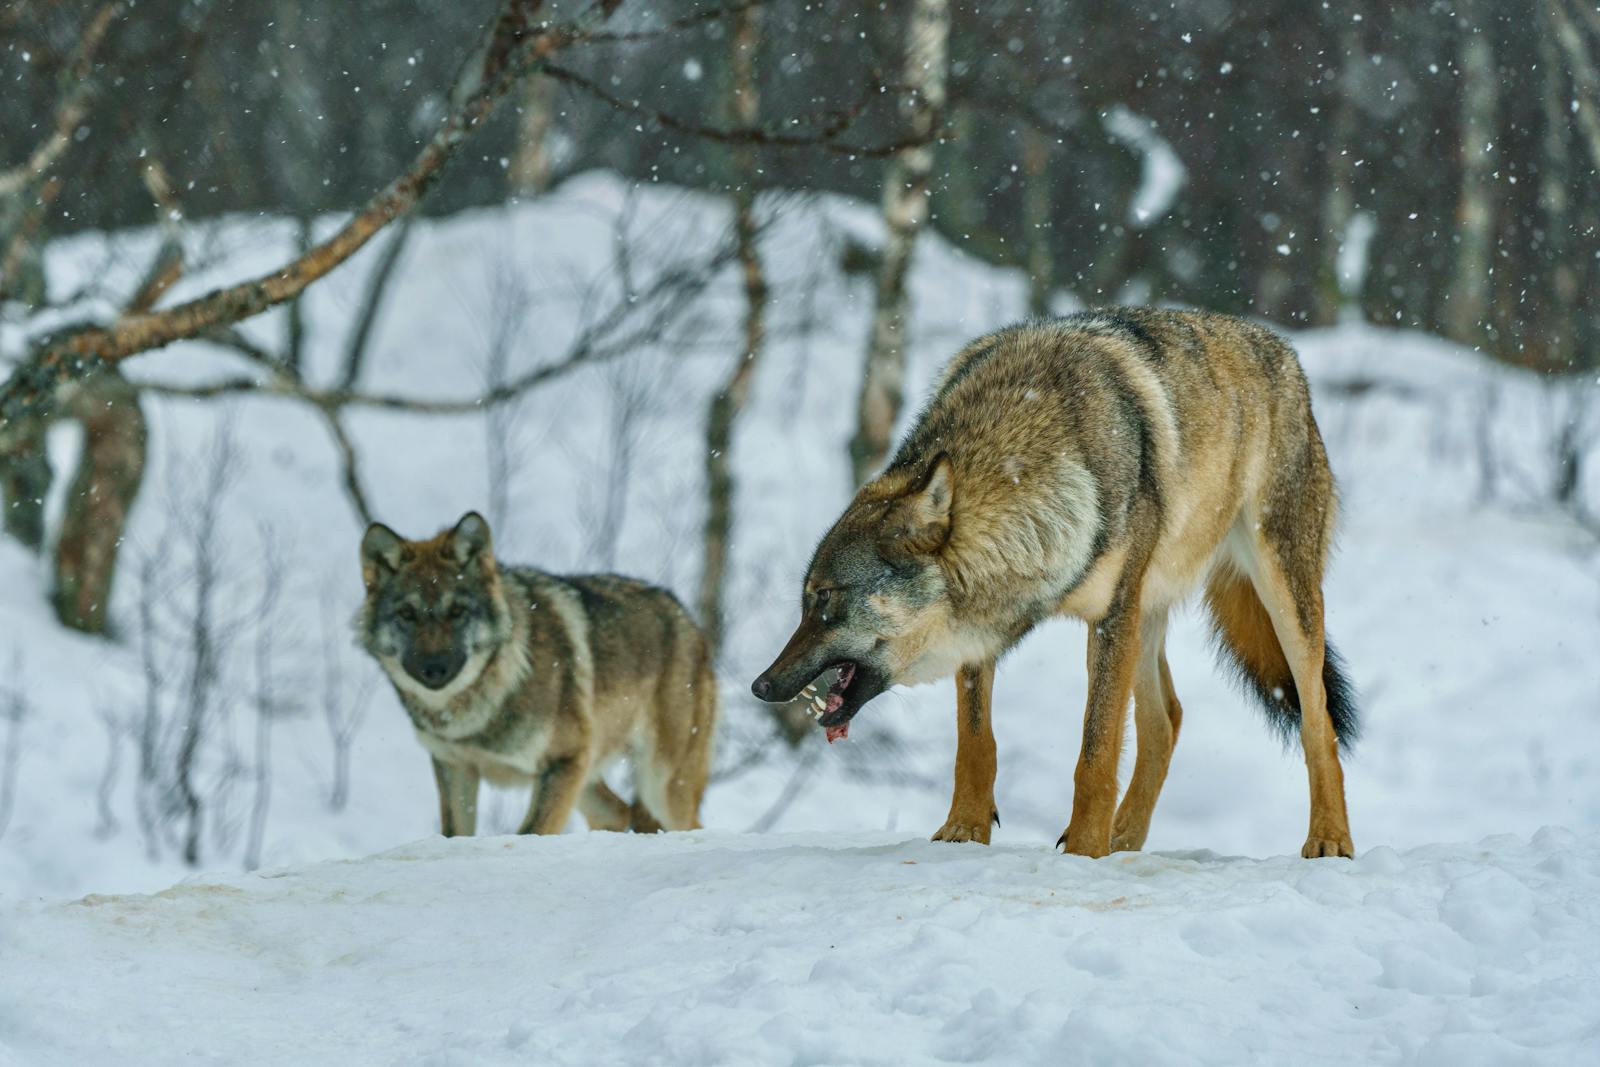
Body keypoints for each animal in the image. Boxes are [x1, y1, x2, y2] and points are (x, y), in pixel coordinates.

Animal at [356, 512, 716, 837]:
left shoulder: (563, 762)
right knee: (617, 812)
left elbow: (532, 832)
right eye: (407, 613)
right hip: (593, 778)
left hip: (660, 786)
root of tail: (687, 617)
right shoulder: (455, 766)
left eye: (457, 611)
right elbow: (455, 834)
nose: (434, 668)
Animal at [751, 308, 1359, 859]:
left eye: (825, 597)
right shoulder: (986, 629)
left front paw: (1084, 852)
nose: (760, 685)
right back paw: (1125, 841)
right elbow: (975, 744)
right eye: (805, 601)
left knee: (1318, 718)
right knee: (1166, 720)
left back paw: (1329, 839)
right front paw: (962, 833)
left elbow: (1094, 755)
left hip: (1277, 594)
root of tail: (1283, 349)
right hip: (1148, 615)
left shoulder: (1109, 619)